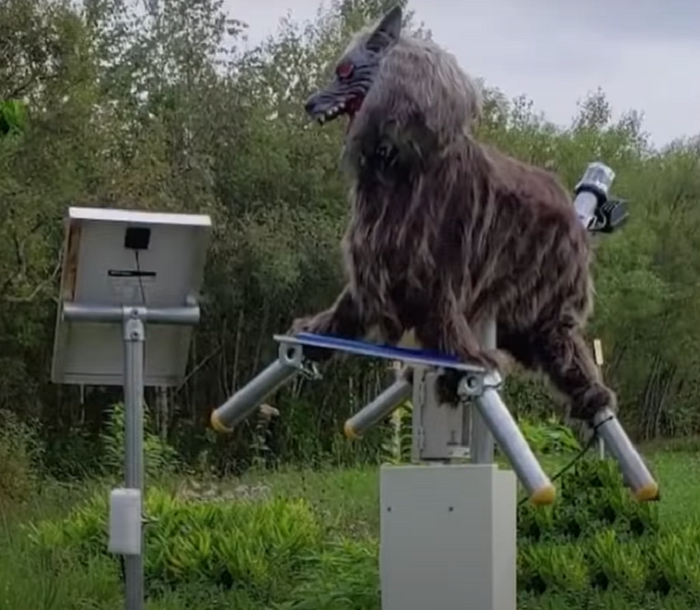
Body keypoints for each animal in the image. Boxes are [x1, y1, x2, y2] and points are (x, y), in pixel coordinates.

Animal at [291, 4, 616, 424]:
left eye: (345, 71)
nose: (309, 102)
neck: (401, 168)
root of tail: (574, 214)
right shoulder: (376, 266)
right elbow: (346, 311)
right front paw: (315, 332)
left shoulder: (436, 275)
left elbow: (446, 328)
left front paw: (467, 363)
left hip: (544, 305)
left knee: (563, 347)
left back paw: (592, 397)